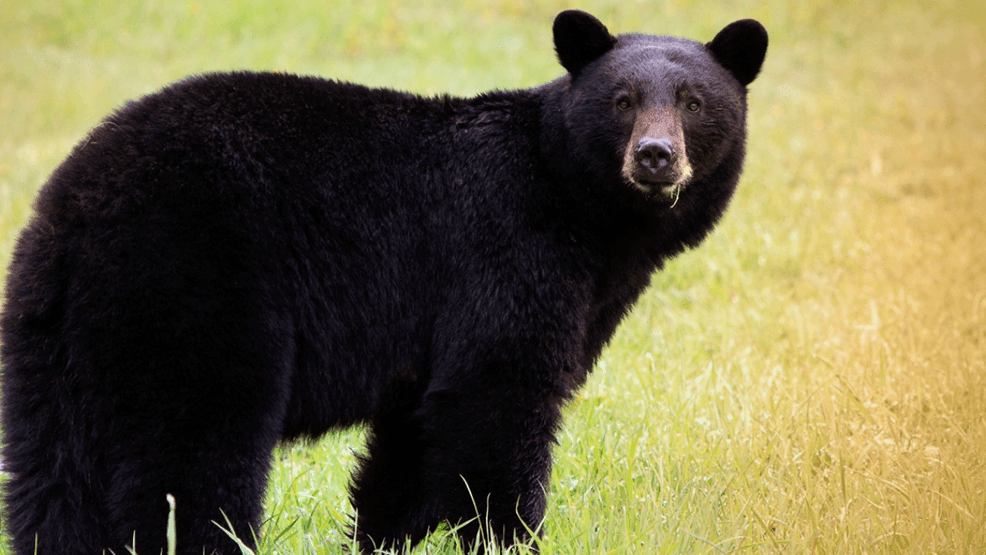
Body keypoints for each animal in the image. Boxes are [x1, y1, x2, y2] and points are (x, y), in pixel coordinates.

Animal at [0, 9, 767, 555]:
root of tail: (75, 209)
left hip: (54, 339)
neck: (581, 209)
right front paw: (512, 537)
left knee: (54, 474)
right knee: (192, 462)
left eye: (695, 102)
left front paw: (379, 538)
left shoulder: (432, 339)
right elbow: (496, 403)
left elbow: (410, 444)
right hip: (196, 291)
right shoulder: (505, 255)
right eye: (623, 100)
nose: (656, 156)